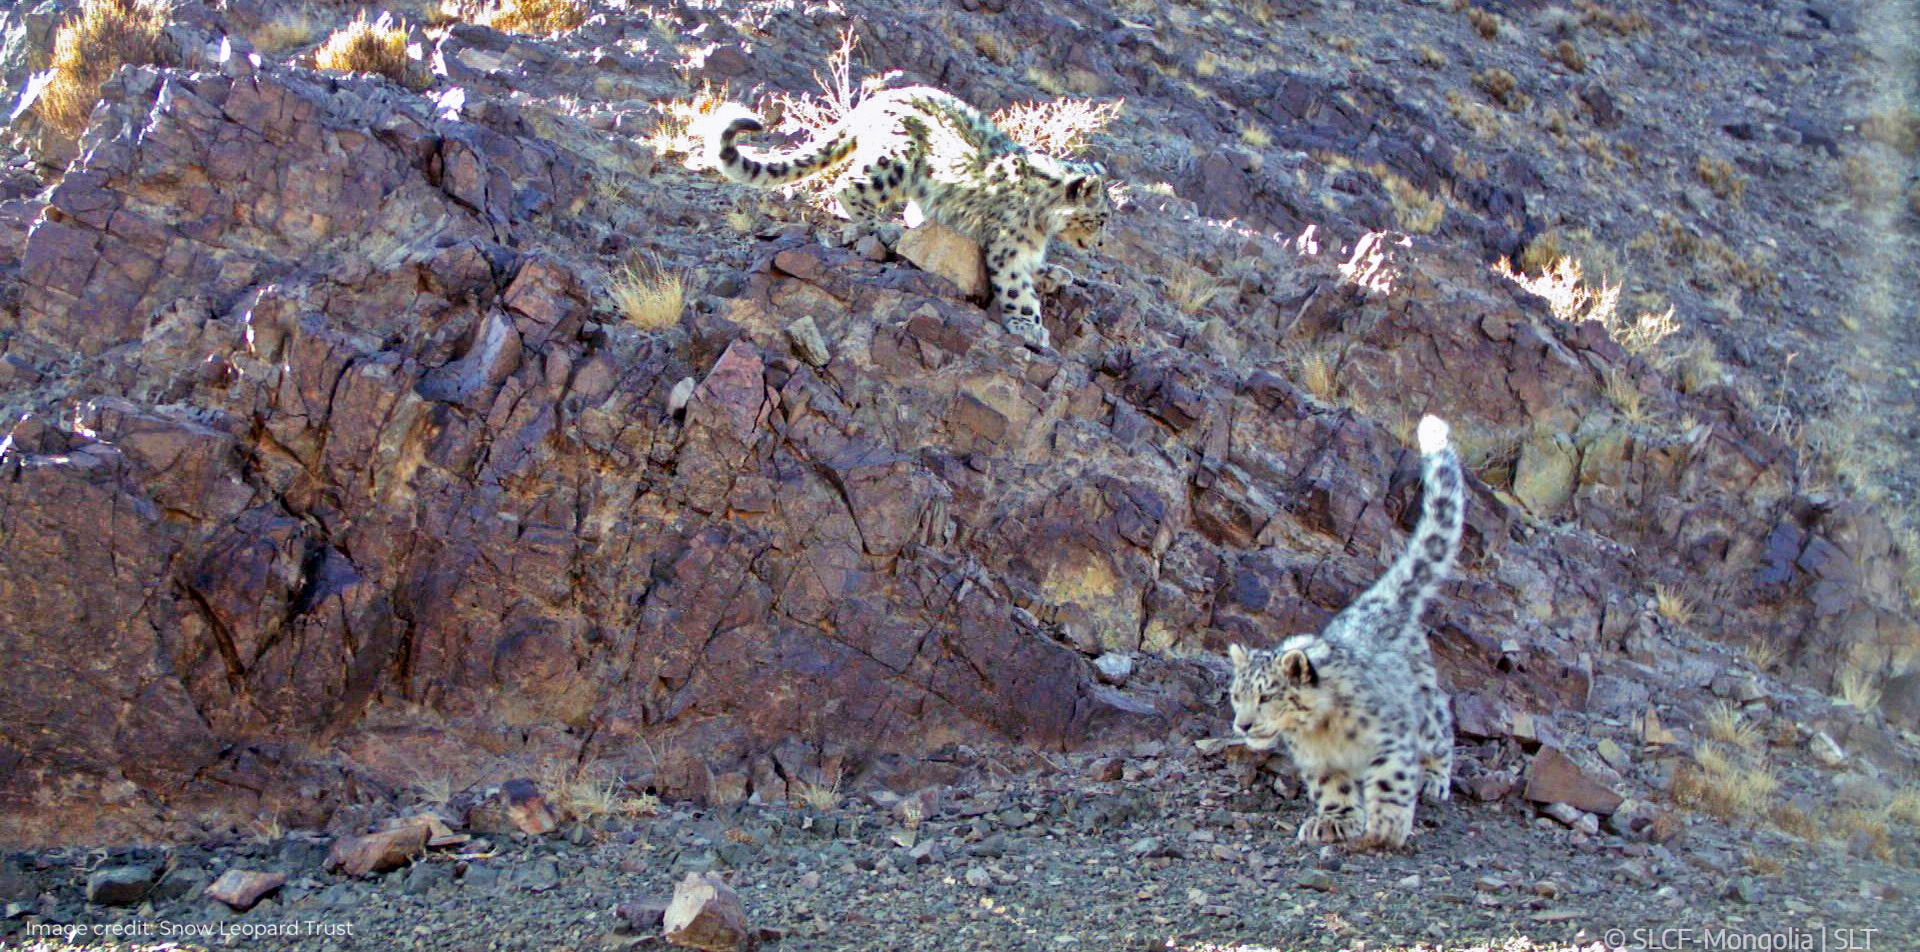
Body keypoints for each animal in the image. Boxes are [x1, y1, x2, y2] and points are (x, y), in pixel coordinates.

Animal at [707, 85, 1113, 350]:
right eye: (1102, 218)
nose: (1100, 244)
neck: (1042, 221)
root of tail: (877, 99)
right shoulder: (1009, 247)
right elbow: (1017, 287)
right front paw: (1030, 326)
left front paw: (1056, 273)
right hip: (894, 159)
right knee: (848, 185)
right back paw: (883, 229)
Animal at [1227, 414, 1465, 850]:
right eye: (1237, 695)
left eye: (1267, 696)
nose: (1243, 726)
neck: (1320, 731)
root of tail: (1383, 602)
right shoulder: (1317, 760)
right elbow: (1331, 788)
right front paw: (1333, 822)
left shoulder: (1390, 739)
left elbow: (1391, 780)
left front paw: (1386, 827)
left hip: (1424, 716)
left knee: (1442, 728)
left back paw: (1436, 779)